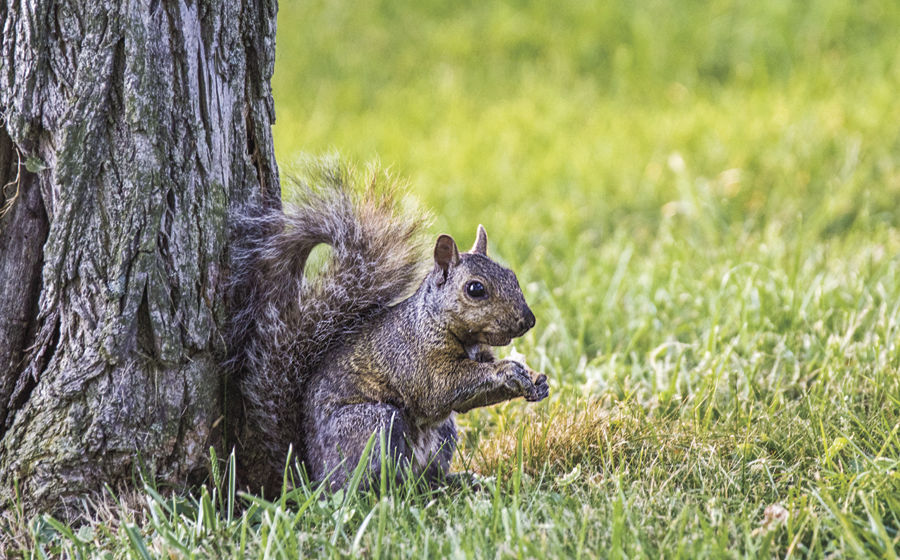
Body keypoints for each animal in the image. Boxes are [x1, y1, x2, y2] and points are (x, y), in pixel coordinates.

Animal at [227, 162, 549, 492]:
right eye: (475, 289)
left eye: (511, 275)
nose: (528, 321)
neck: (437, 323)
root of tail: (316, 476)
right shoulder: (413, 359)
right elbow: (443, 388)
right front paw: (508, 371)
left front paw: (538, 381)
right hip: (374, 425)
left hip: (442, 434)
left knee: (428, 477)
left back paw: (454, 481)